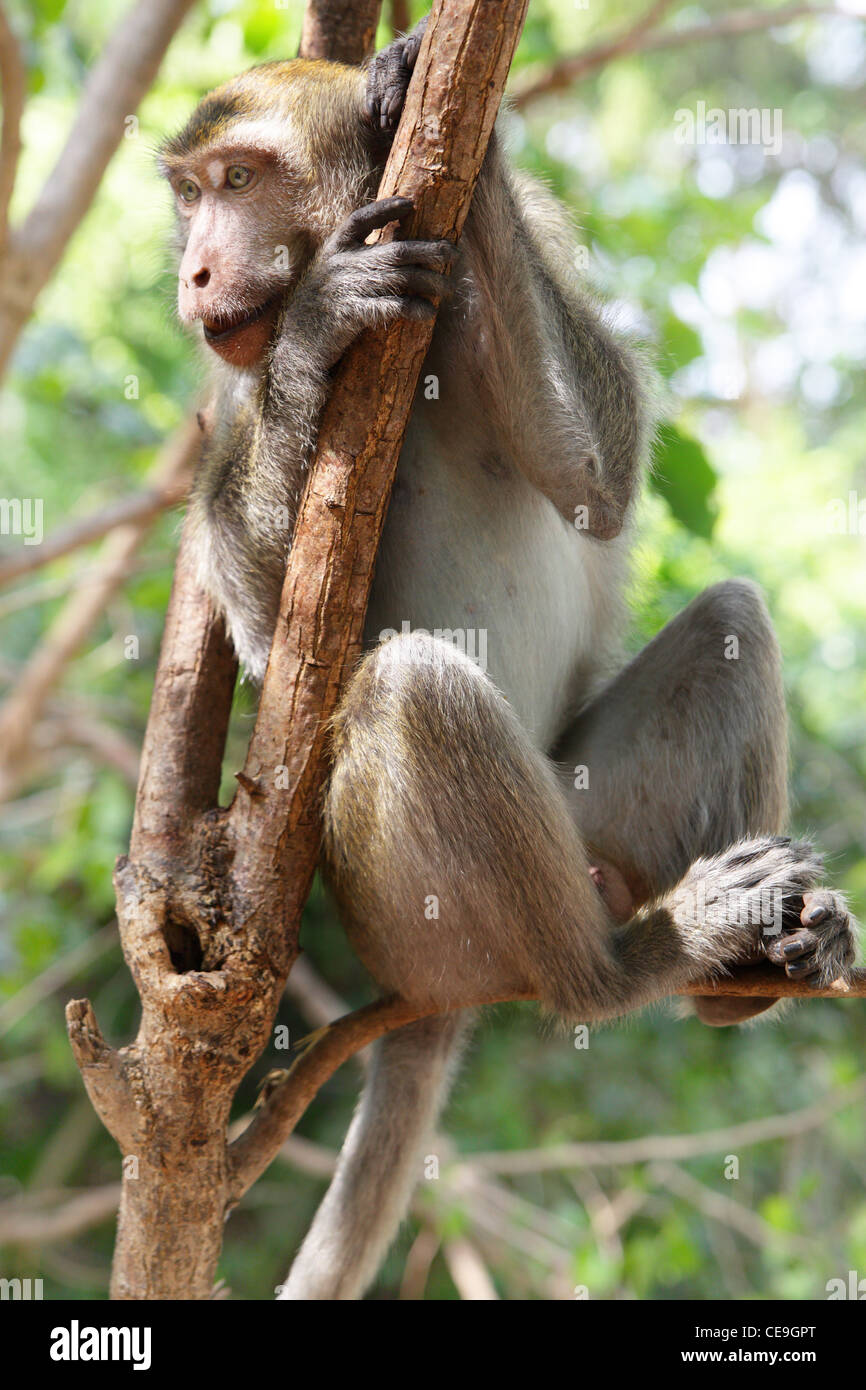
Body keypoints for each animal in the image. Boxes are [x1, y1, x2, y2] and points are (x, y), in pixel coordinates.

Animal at [160, 19, 858, 1301]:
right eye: (189, 195)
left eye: (235, 180)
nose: (191, 271)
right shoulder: (227, 403)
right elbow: (283, 642)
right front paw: (317, 325)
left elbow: (599, 472)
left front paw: (444, 124)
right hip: (412, 917)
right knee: (413, 685)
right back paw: (630, 965)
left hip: (593, 813)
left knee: (729, 615)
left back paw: (759, 968)